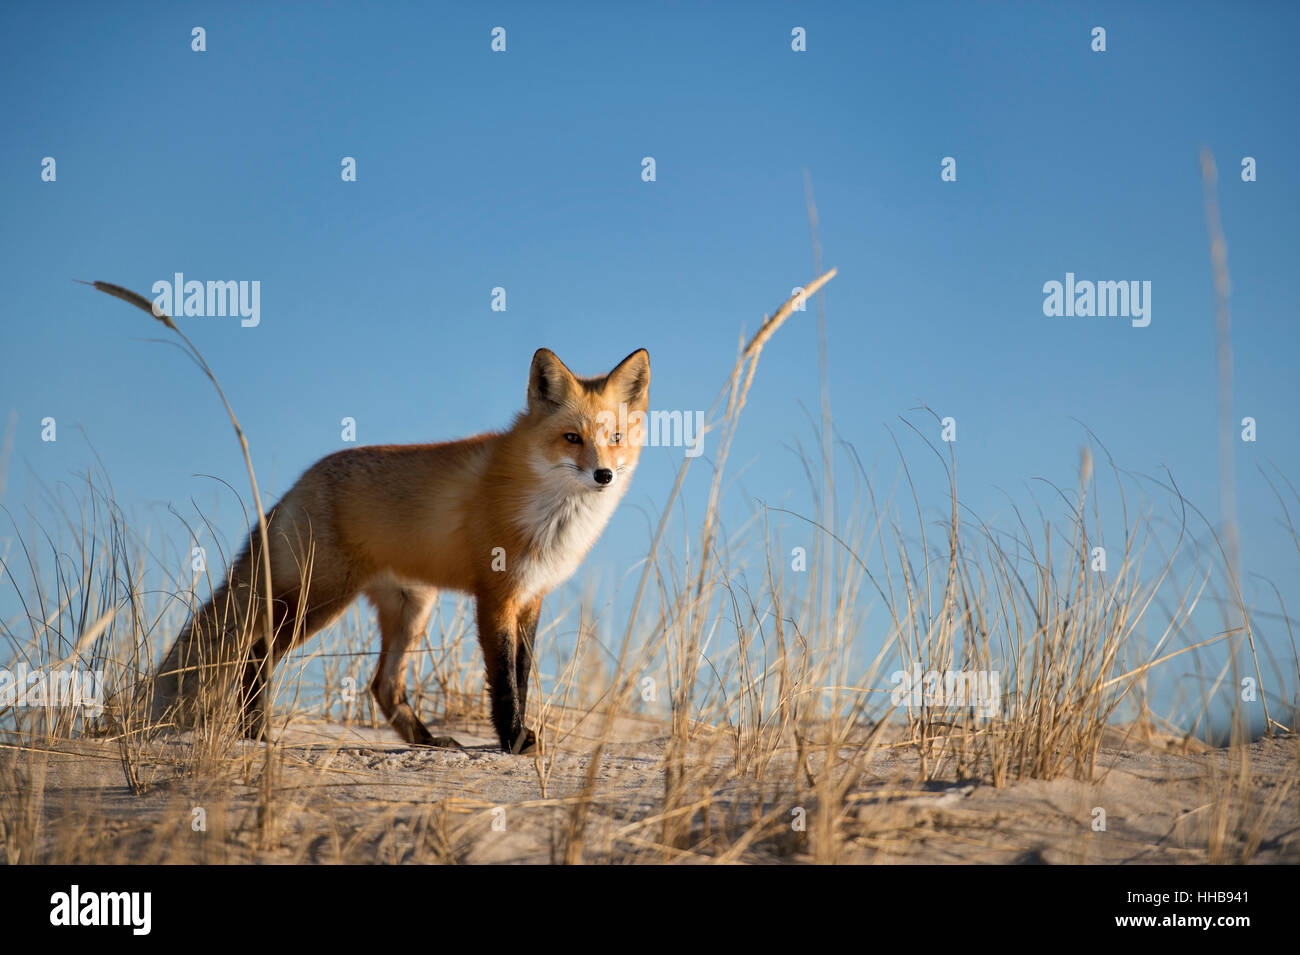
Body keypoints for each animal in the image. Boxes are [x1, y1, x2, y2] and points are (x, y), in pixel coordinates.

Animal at [150, 347, 650, 754]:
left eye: (615, 439)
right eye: (572, 438)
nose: (604, 475)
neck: (552, 516)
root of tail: (298, 484)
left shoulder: (531, 597)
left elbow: (523, 677)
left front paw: (518, 735)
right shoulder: (495, 595)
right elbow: (505, 682)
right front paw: (512, 740)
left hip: (411, 608)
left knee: (382, 685)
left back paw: (427, 741)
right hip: (318, 600)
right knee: (255, 654)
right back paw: (255, 734)